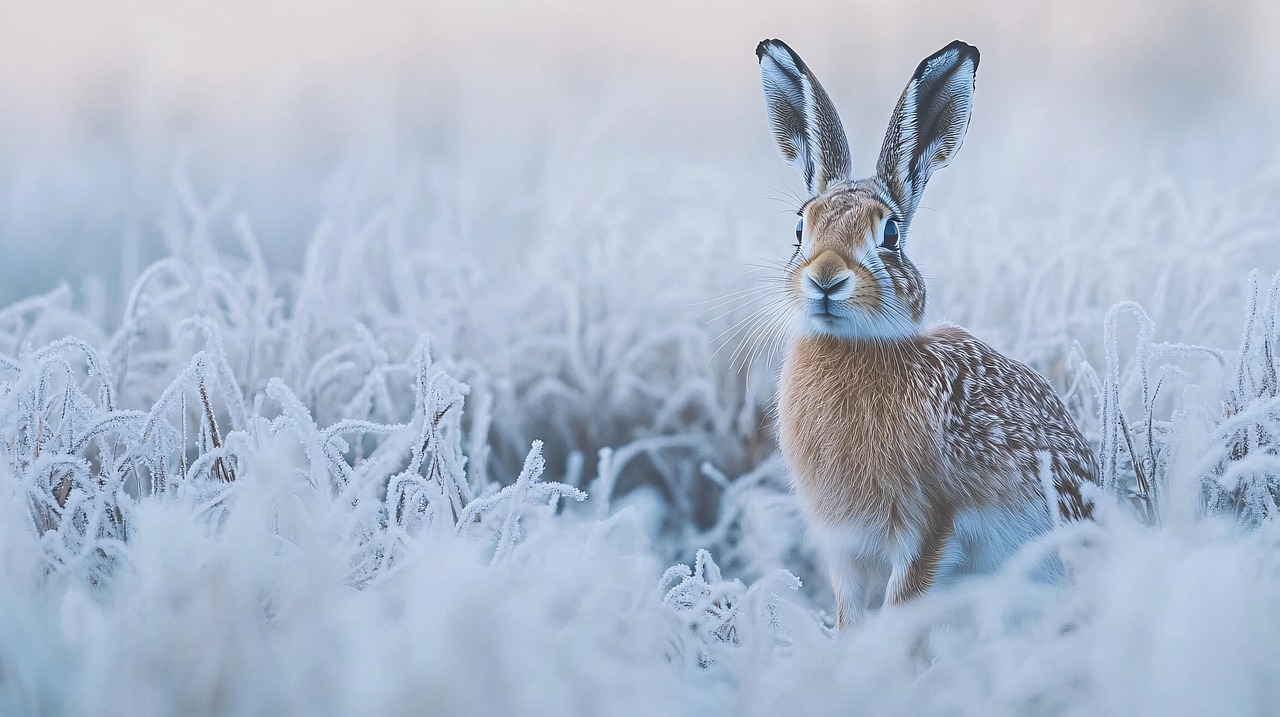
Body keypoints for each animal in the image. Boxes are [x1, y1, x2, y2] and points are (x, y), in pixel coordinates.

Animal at [755, 38, 1100, 631]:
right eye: (801, 226)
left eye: (891, 233)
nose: (825, 278)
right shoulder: (846, 548)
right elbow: (852, 616)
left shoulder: (927, 526)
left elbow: (903, 613)